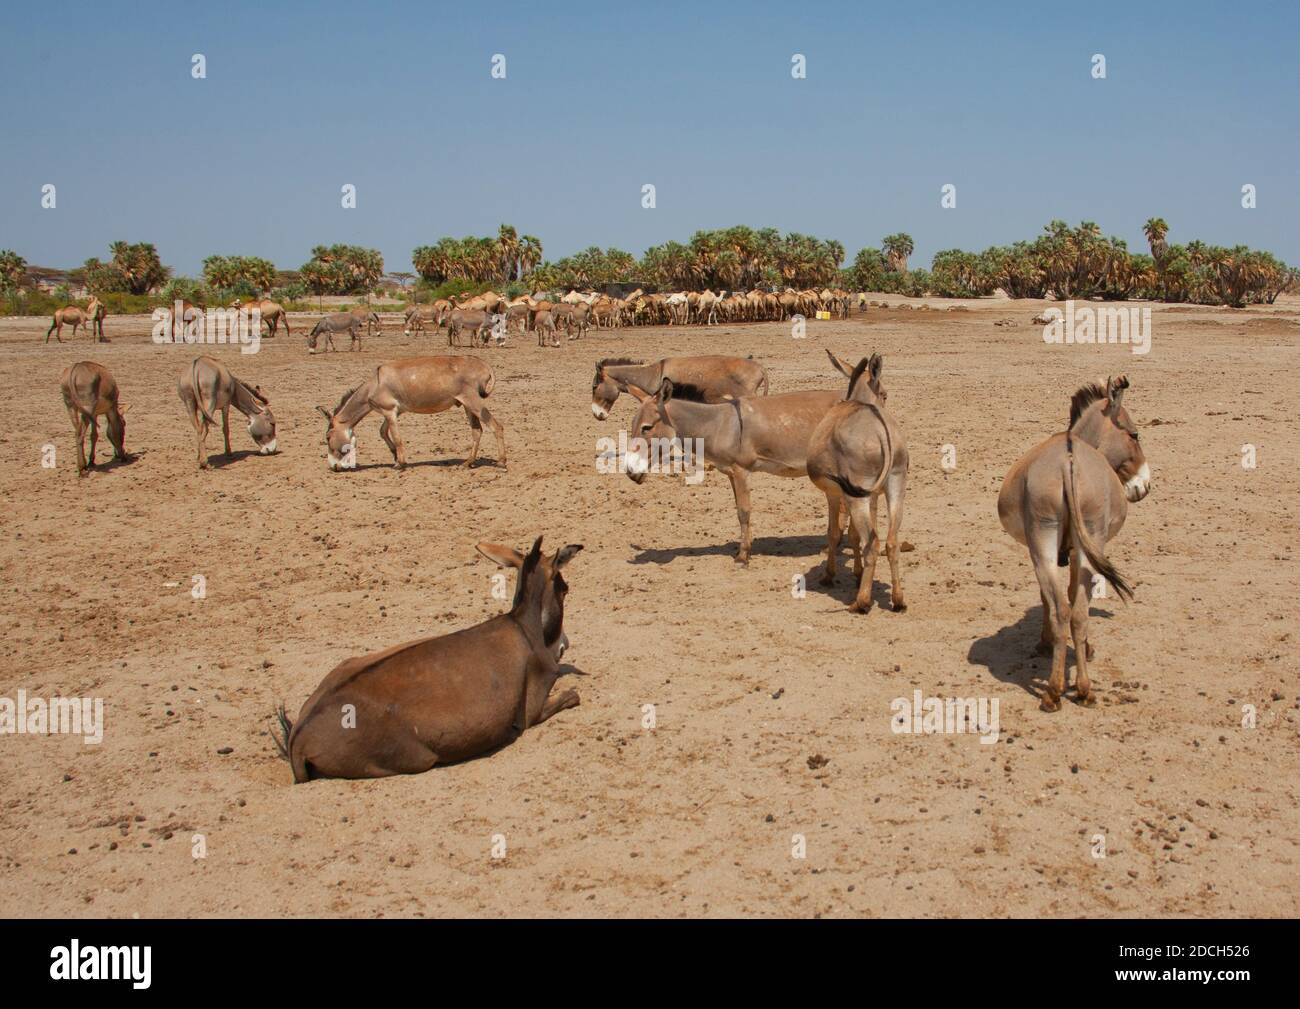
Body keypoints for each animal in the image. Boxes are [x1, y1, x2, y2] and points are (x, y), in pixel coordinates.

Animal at [274, 536, 583, 781]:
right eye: (565, 589)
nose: (564, 645)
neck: (521, 626)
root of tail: (299, 739)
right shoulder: (534, 708)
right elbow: (572, 695)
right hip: (418, 760)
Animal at [318, 356, 506, 471]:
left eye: (328, 437)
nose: (334, 467)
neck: (374, 385)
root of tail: (483, 364)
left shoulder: (389, 411)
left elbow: (396, 437)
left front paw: (399, 464)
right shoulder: (394, 412)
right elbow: (383, 432)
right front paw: (395, 457)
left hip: (473, 402)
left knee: (496, 426)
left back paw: (501, 462)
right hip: (467, 405)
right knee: (477, 431)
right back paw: (468, 462)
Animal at [624, 380, 842, 563]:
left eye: (646, 428)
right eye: (632, 426)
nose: (629, 471)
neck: (719, 425)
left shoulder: (741, 471)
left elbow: (744, 512)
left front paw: (743, 555)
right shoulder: (730, 472)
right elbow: (738, 510)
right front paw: (744, 548)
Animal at [807, 351, 909, 613]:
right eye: (885, 394)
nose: (883, 401)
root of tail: (880, 428)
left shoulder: (834, 494)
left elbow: (835, 532)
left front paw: (829, 576)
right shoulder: (871, 496)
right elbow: (854, 534)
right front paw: (858, 573)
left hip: (857, 497)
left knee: (872, 543)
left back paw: (861, 602)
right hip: (895, 488)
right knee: (890, 542)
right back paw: (898, 600)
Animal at [997, 376, 1151, 712]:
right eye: (1135, 434)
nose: (1145, 486)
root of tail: (1069, 461)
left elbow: (1054, 597)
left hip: (1049, 545)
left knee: (1067, 611)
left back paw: (1062, 691)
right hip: (1079, 543)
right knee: (1073, 611)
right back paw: (1076, 689)